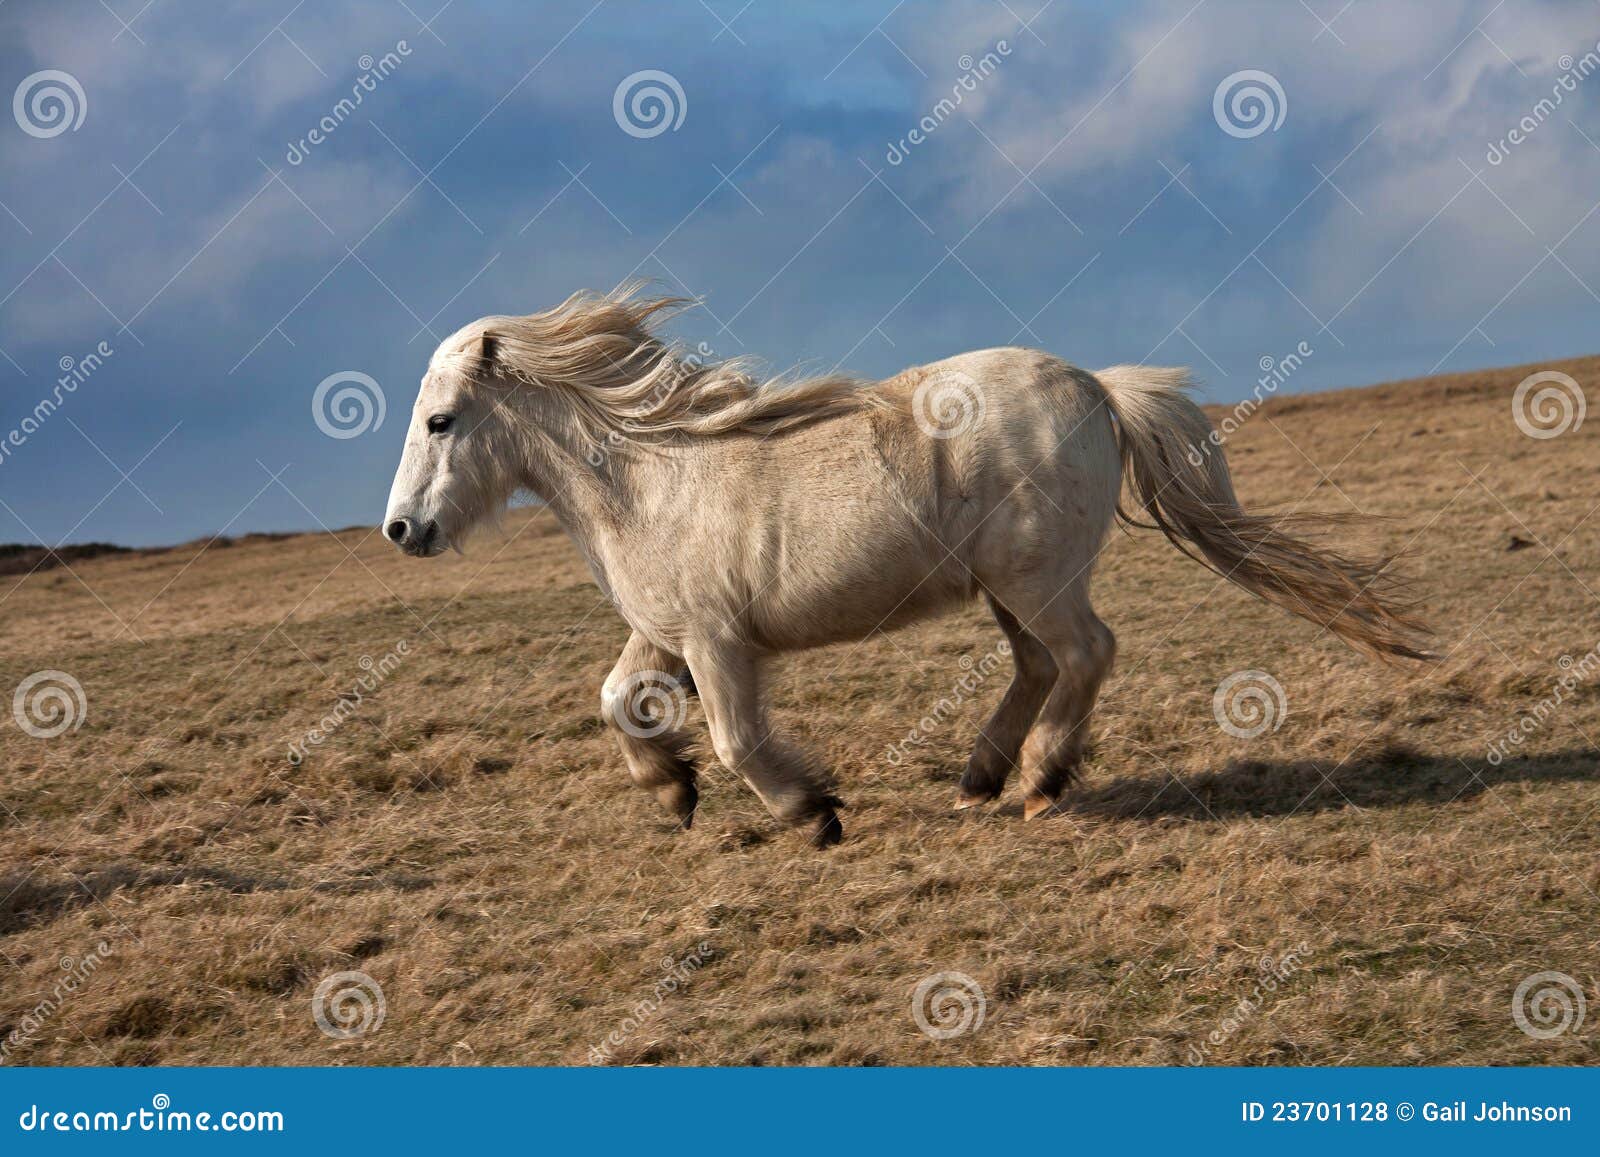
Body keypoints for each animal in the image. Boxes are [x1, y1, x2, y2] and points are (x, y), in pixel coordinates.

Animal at [382, 286, 1429, 846]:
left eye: (441, 421)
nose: (400, 530)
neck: (650, 479)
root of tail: (1096, 387)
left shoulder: (718, 645)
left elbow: (736, 739)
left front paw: (812, 812)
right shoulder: (663, 634)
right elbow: (614, 699)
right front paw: (671, 789)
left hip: (1038, 581)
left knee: (1086, 653)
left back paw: (1041, 781)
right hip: (1007, 591)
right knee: (1040, 665)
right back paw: (980, 776)